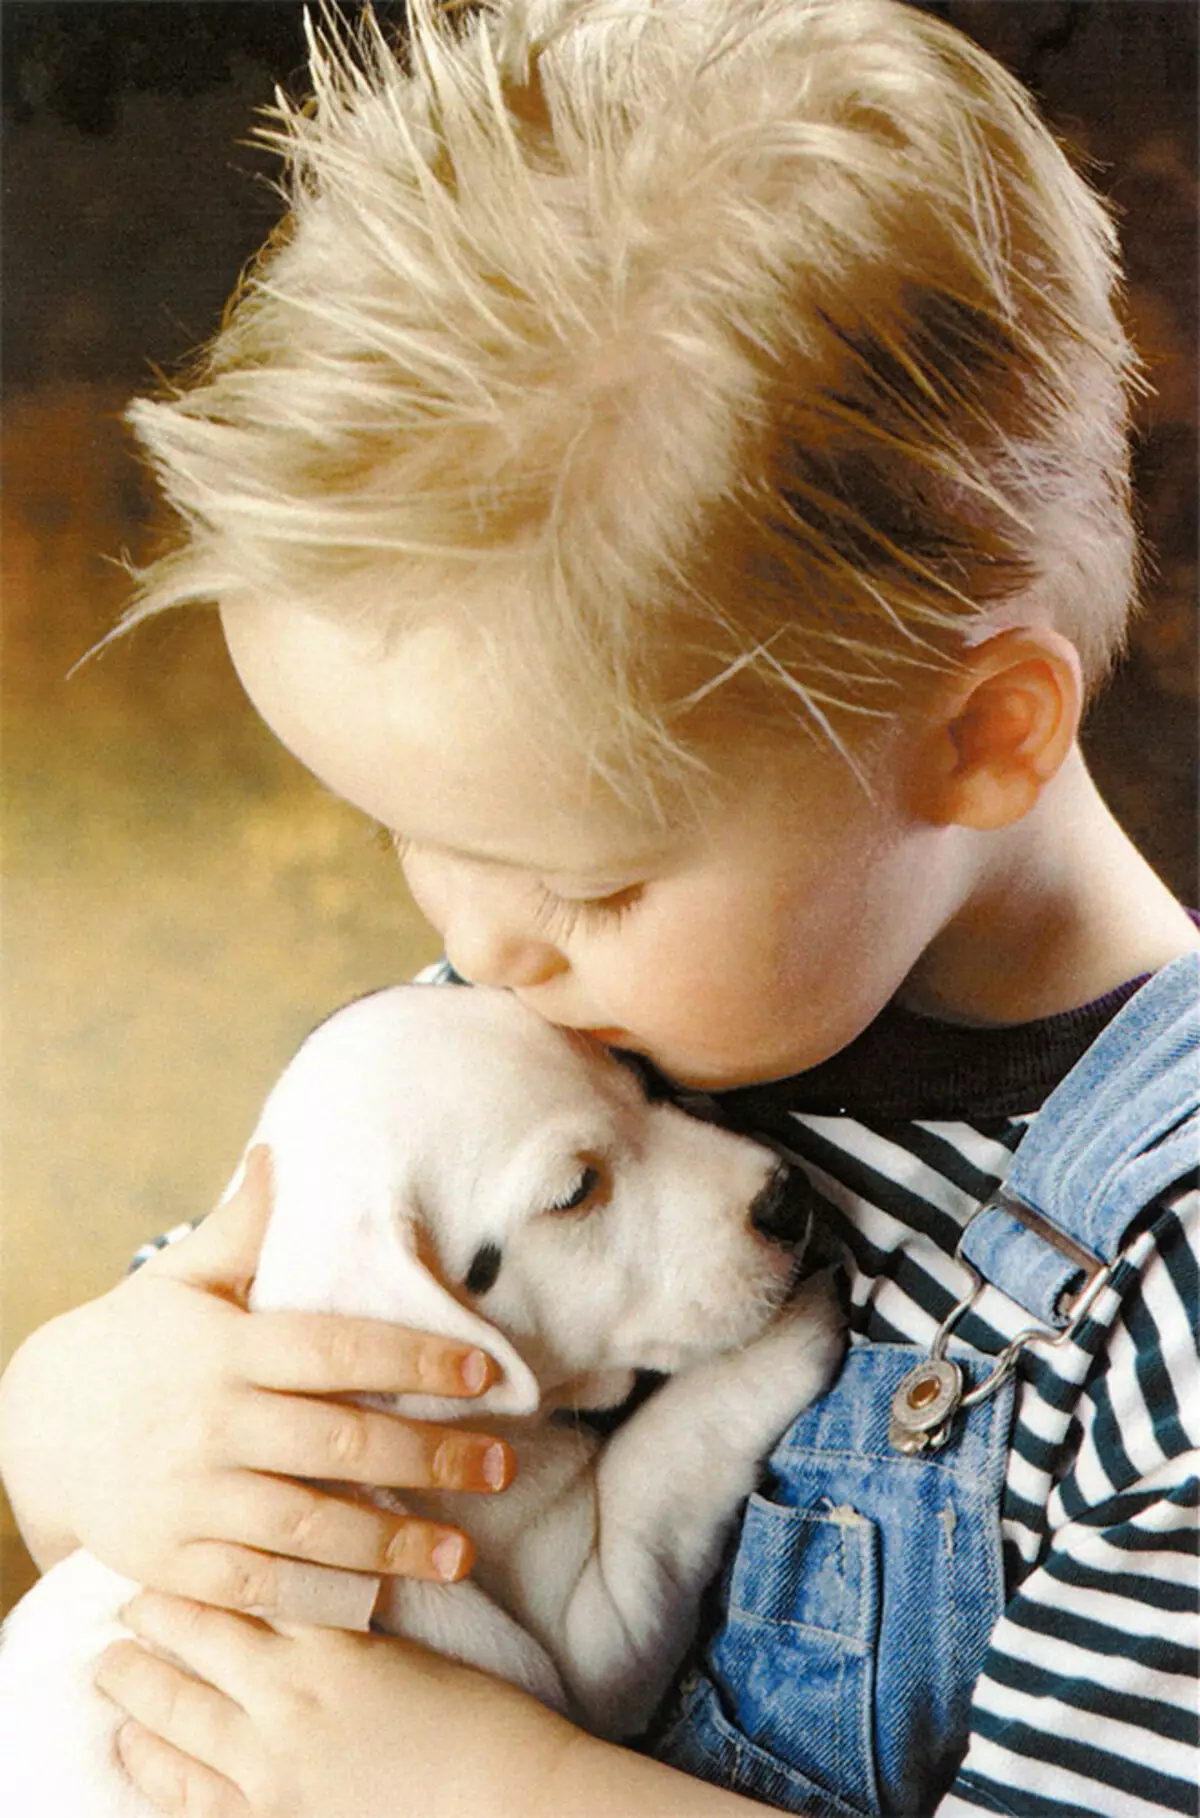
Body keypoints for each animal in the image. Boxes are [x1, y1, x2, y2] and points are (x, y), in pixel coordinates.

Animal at [0, 988, 843, 1810]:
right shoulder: (599, 1636)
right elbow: (663, 1462)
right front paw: (776, 1345)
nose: (788, 1198)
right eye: (574, 1193)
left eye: (638, 1079)